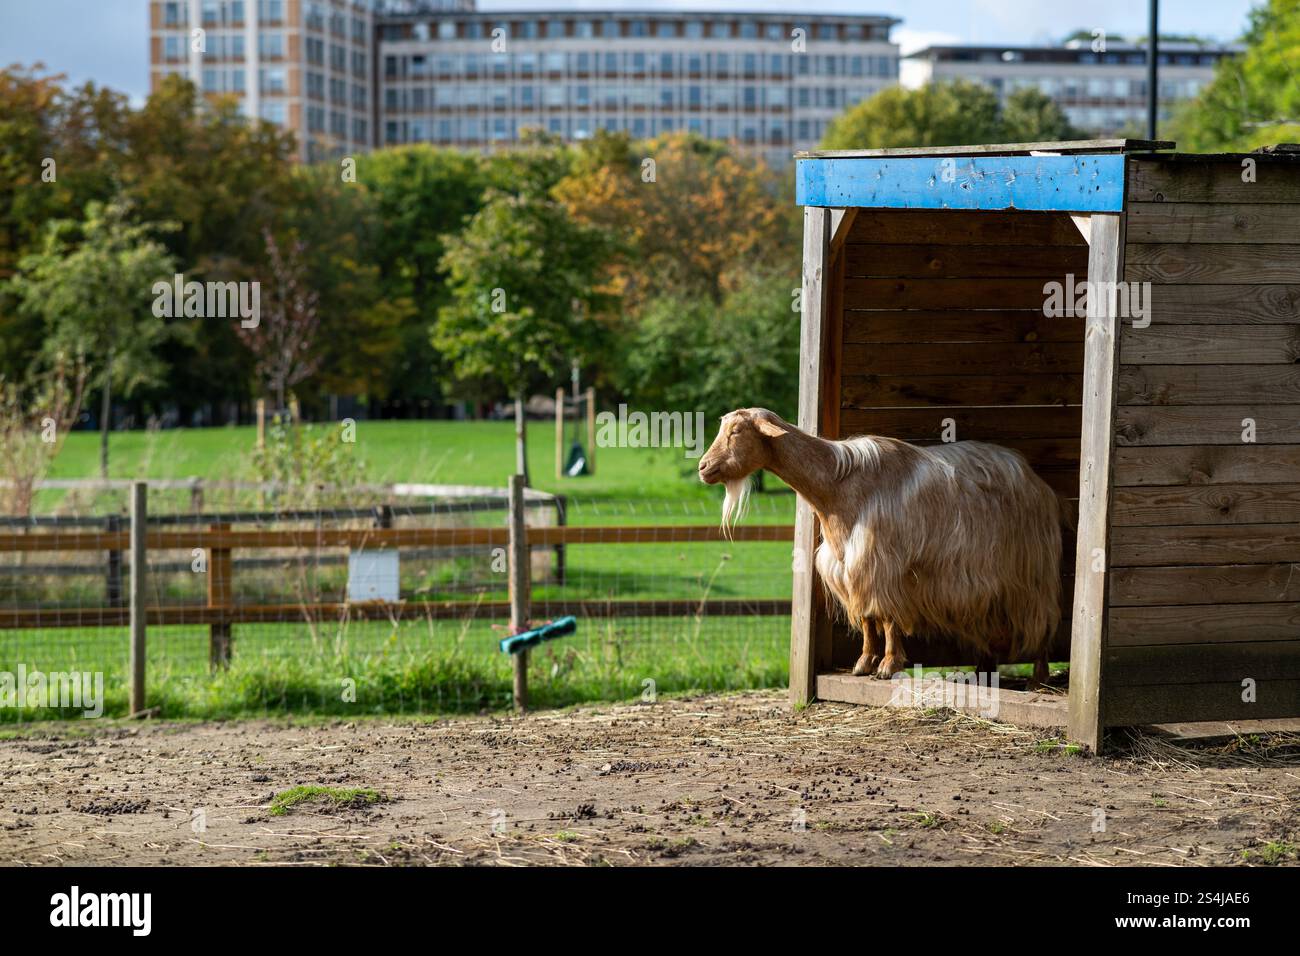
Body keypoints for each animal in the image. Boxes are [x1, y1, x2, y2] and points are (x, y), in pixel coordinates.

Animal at [698, 408, 1060, 683]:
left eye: (736, 432)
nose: (703, 467)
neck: (837, 486)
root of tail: (1034, 479)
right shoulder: (849, 568)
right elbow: (868, 619)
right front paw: (863, 664)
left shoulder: (881, 563)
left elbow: (887, 618)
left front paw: (888, 666)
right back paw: (985, 670)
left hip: (1033, 567)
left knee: (1044, 616)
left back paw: (1039, 676)